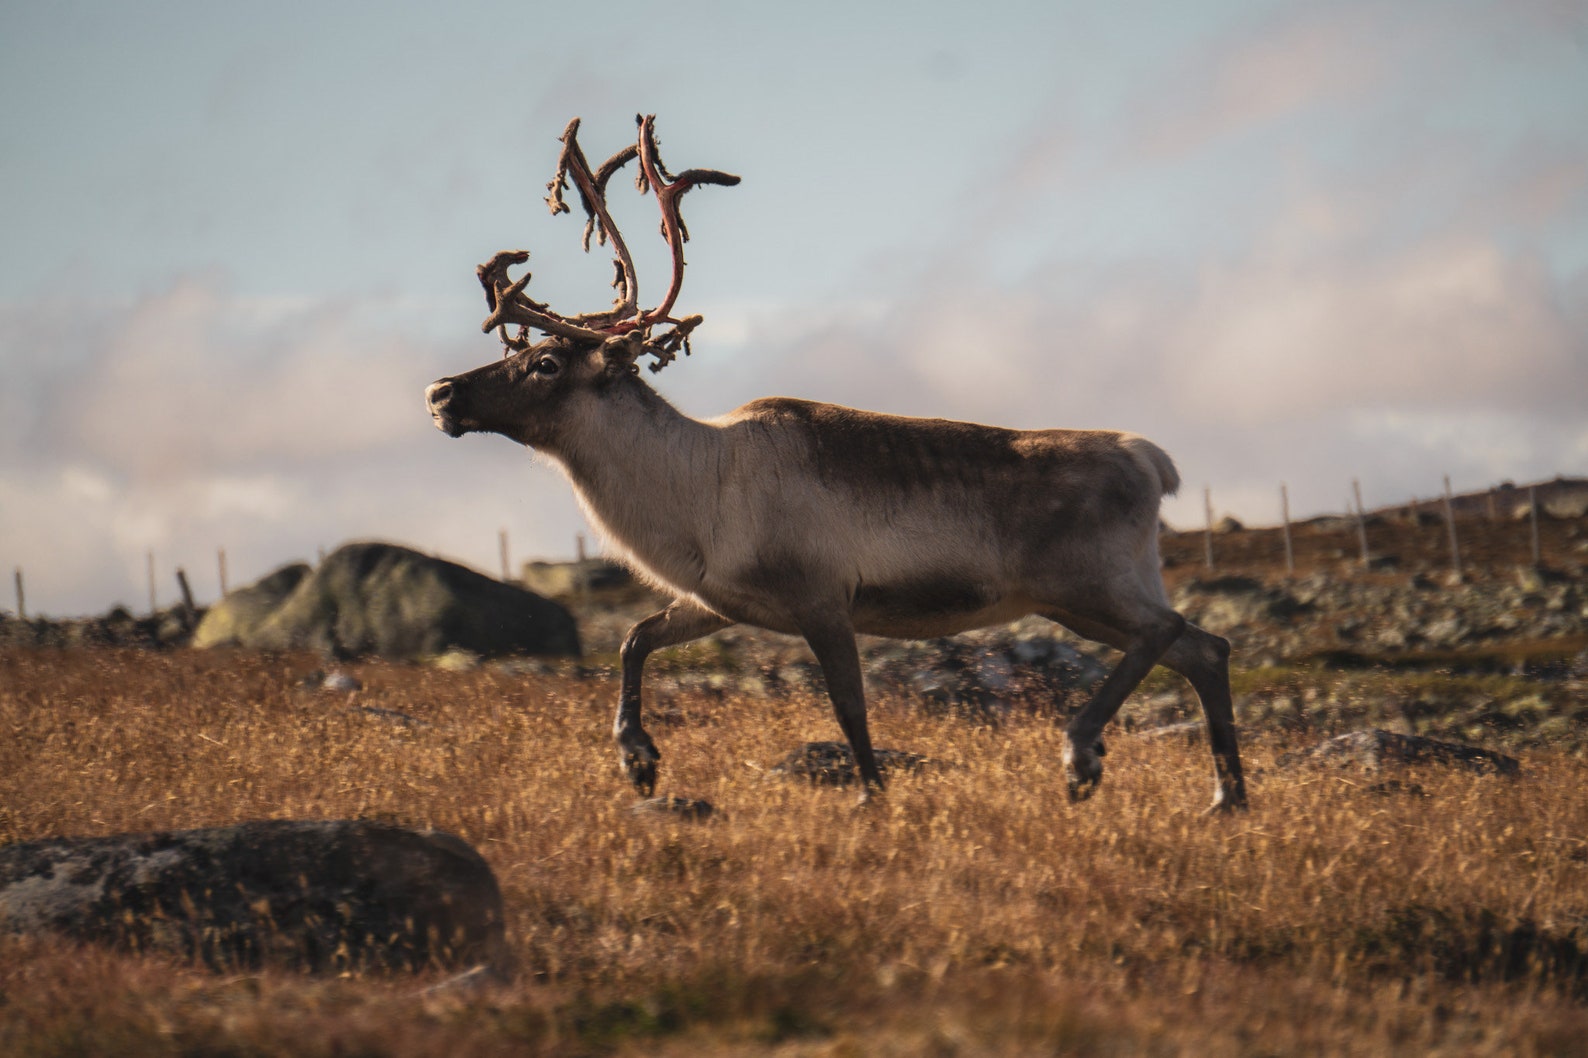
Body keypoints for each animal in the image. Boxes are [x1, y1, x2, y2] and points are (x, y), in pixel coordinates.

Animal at [425, 115, 1248, 812]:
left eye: (546, 363)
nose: (440, 393)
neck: (693, 493)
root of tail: (1152, 461)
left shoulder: (823, 598)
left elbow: (849, 707)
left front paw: (871, 797)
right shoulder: (719, 600)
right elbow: (635, 638)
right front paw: (638, 759)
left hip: (1087, 583)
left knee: (1171, 631)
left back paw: (1083, 755)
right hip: (1082, 597)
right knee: (1205, 647)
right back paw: (1226, 798)